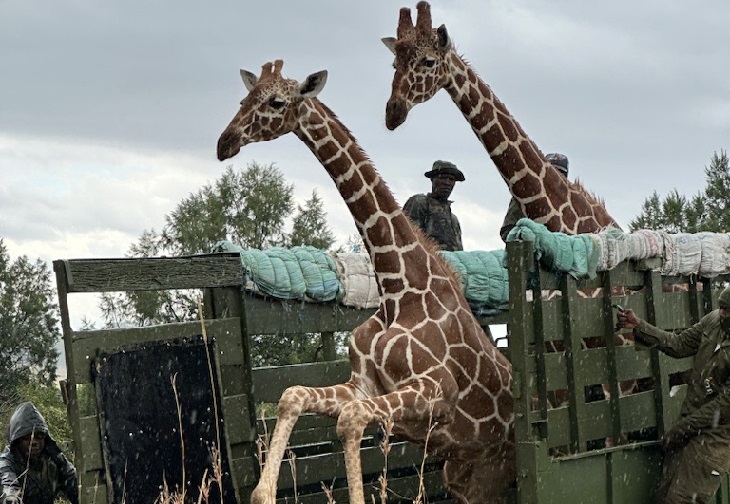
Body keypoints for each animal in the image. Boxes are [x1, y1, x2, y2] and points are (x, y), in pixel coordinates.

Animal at [216, 60, 514, 504]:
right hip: (467, 473)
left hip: (496, 468)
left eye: (276, 102)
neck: (397, 289)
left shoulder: (436, 389)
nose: (225, 142)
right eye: (244, 99)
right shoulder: (362, 387)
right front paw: (263, 493)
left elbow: (352, 421)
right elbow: (292, 395)